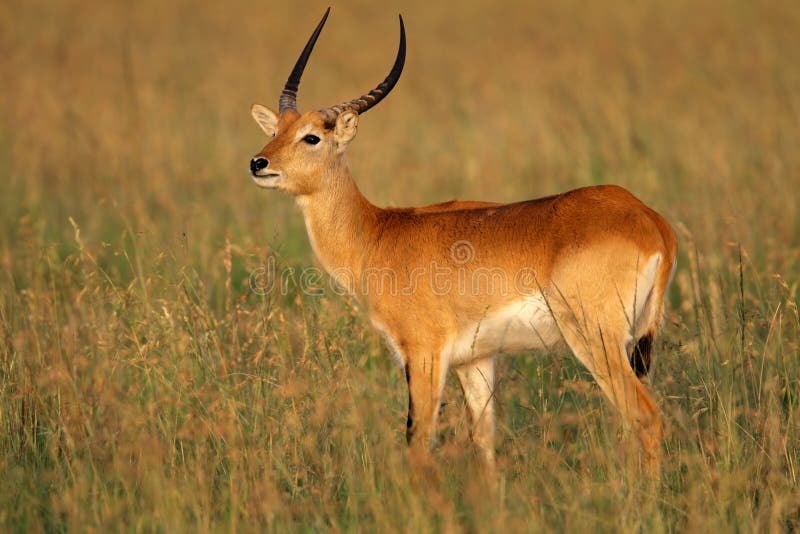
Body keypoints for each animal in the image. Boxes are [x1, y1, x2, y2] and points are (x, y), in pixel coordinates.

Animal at [248, 8, 677, 473]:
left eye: (312, 136)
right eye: (277, 130)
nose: (258, 163)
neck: (377, 233)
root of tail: (652, 220)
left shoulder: (423, 353)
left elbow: (418, 443)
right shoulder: (475, 361)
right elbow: (484, 442)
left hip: (596, 340)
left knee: (646, 418)